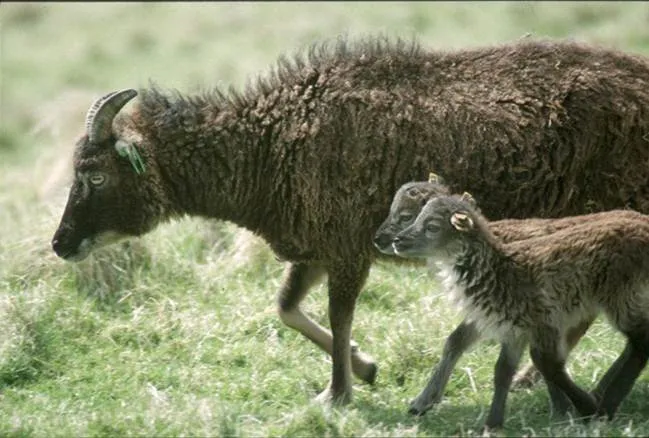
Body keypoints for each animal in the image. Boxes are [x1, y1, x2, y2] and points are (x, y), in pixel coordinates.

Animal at [391, 194, 649, 428]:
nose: (397, 240)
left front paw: (582, 408)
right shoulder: (513, 328)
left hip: (622, 294)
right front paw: (493, 423)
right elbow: (502, 370)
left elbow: (548, 364)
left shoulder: (543, 320)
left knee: (640, 343)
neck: (501, 268)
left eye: (432, 226)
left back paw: (607, 404)